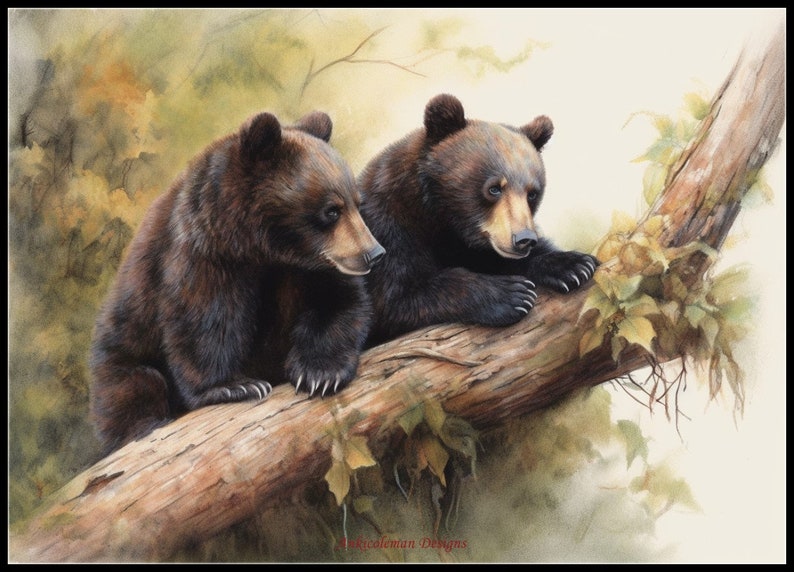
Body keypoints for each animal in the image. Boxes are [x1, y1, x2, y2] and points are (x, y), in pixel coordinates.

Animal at [89, 110, 385, 454]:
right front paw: (235, 386)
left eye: (356, 203)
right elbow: (204, 320)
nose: (374, 254)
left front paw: (321, 373)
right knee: (137, 385)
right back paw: (147, 422)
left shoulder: (312, 267)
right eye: (331, 210)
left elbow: (337, 303)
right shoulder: (202, 252)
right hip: (121, 354)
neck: (262, 249)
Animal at [358, 93, 598, 345]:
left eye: (532, 193)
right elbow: (397, 297)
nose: (524, 239)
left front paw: (574, 265)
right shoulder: (385, 227)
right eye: (494, 188)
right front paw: (513, 295)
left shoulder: (475, 246)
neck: (443, 219)